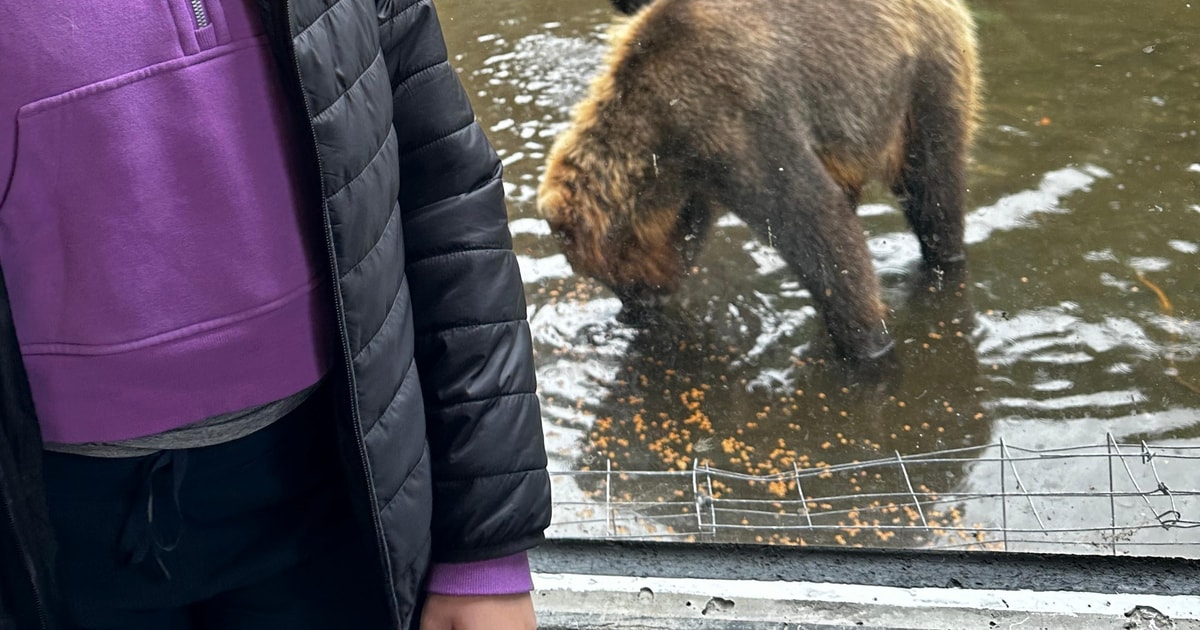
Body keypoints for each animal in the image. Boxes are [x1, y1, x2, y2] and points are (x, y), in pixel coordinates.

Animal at [537, 0, 981, 363]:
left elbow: (821, 230)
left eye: (605, 276)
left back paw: (943, 258)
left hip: (918, 78)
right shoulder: (696, 184)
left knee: (933, 187)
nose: (631, 311)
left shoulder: (741, 124)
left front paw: (867, 346)